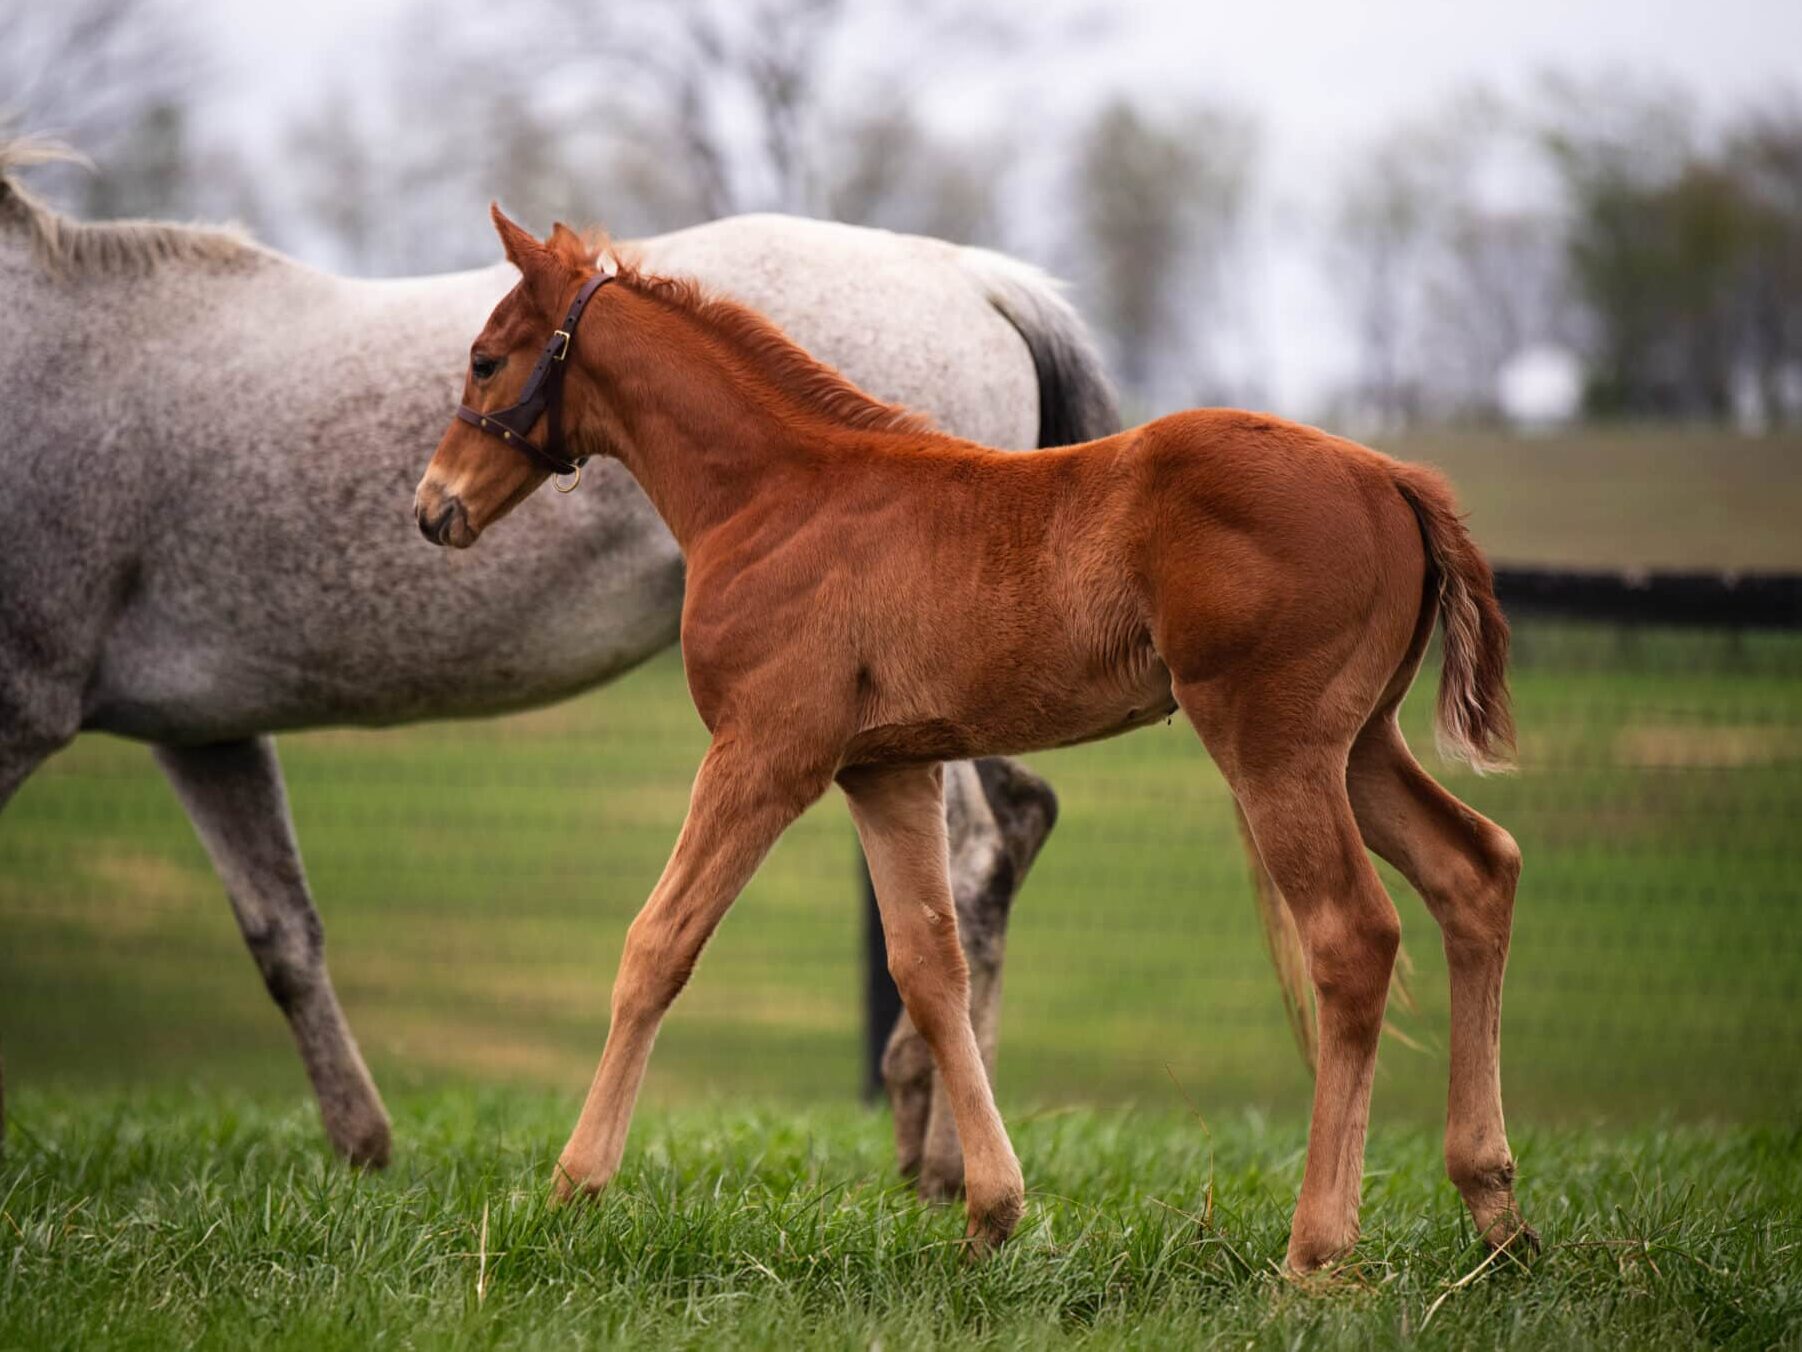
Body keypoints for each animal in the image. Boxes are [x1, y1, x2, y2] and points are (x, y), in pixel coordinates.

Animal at [0, 137, 1108, 1184]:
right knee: (1007, 836)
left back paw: (941, 1153)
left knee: (979, 857)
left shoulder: (27, 702)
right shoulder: (205, 726)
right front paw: (363, 1147)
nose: (430, 506)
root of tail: (975, 275)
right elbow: (283, 931)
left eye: (486, 360)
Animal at [415, 208, 1535, 1274]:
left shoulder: (765, 750)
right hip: (1359, 744)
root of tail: (1391, 475)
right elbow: (928, 964)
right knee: (1475, 867)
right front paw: (990, 1213)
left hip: (1275, 744)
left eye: (485, 358)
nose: (435, 507)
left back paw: (1318, 1249)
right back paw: (1495, 1211)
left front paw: (573, 1187)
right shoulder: (884, 767)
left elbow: (659, 942)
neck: (778, 493)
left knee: (1354, 935)